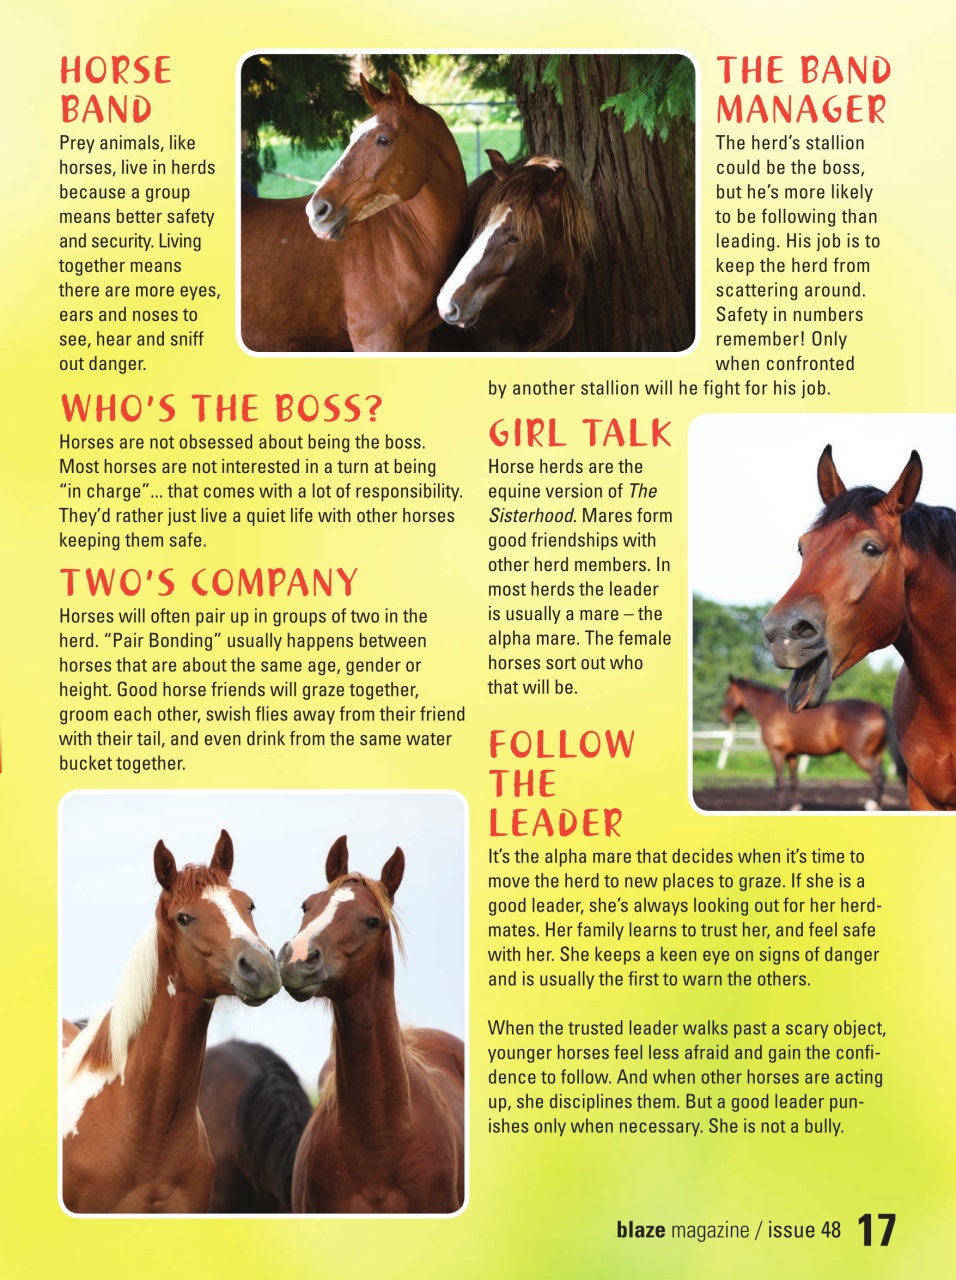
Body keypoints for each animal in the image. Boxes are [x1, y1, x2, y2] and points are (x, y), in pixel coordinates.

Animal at [720, 675, 904, 810]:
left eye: (727, 694)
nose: (723, 718)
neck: (771, 708)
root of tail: (878, 708)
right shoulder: (791, 755)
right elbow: (794, 780)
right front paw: (795, 806)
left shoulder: (776, 752)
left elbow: (779, 781)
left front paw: (780, 807)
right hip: (876, 754)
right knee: (879, 777)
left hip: (860, 755)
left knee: (878, 776)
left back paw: (871, 804)